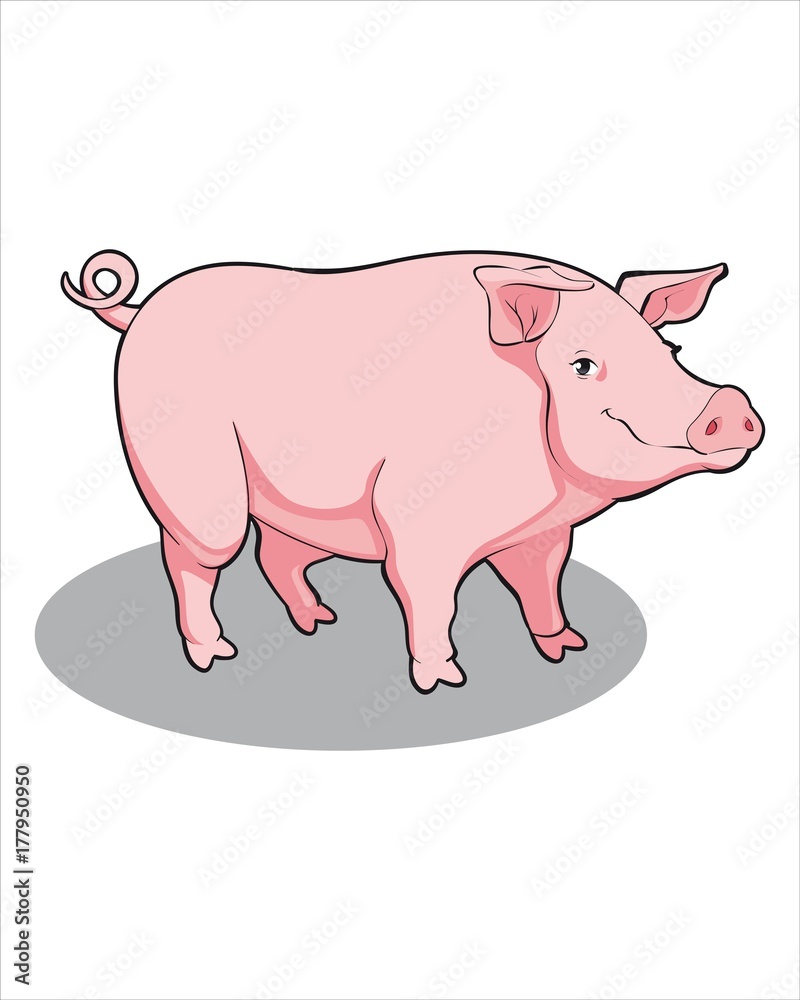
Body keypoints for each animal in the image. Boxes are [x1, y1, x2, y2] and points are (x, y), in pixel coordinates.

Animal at [62, 249, 763, 693]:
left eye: (670, 348)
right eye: (584, 365)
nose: (731, 406)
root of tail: (139, 310)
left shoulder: (545, 529)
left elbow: (541, 580)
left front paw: (570, 648)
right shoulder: (419, 520)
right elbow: (430, 596)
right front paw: (445, 683)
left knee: (275, 554)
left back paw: (320, 622)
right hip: (192, 481)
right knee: (192, 558)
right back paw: (215, 657)